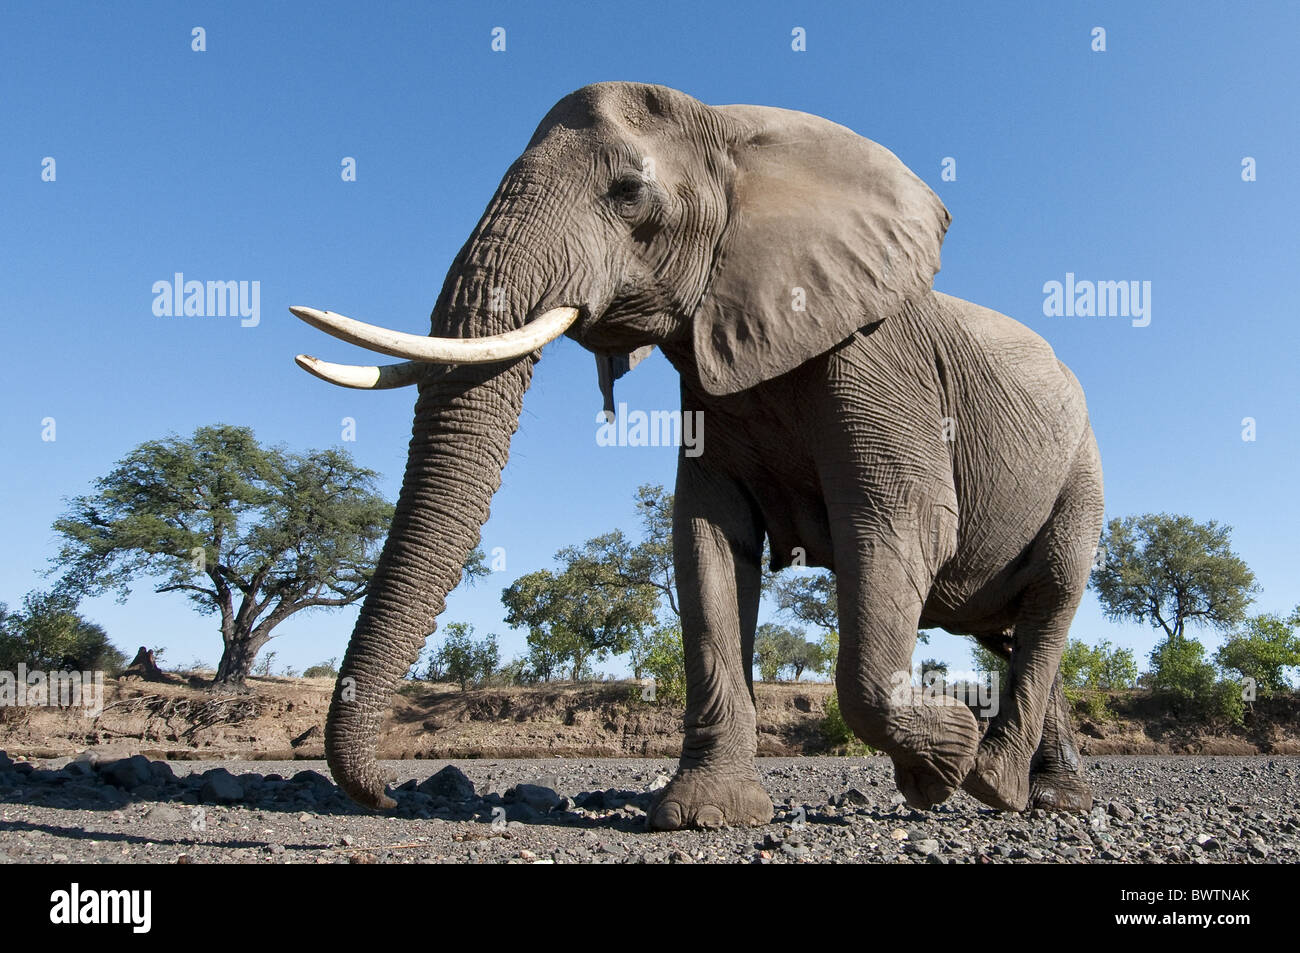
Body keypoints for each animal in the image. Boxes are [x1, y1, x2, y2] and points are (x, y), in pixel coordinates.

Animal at [290, 81, 1104, 830]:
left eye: (628, 194)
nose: (387, 794)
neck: (738, 135)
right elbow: (707, 539)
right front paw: (706, 814)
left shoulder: (877, 360)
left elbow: (900, 524)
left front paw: (940, 768)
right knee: (1013, 630)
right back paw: (1040, 794)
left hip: (1083, 476)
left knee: (1051, 598)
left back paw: (997, 785)